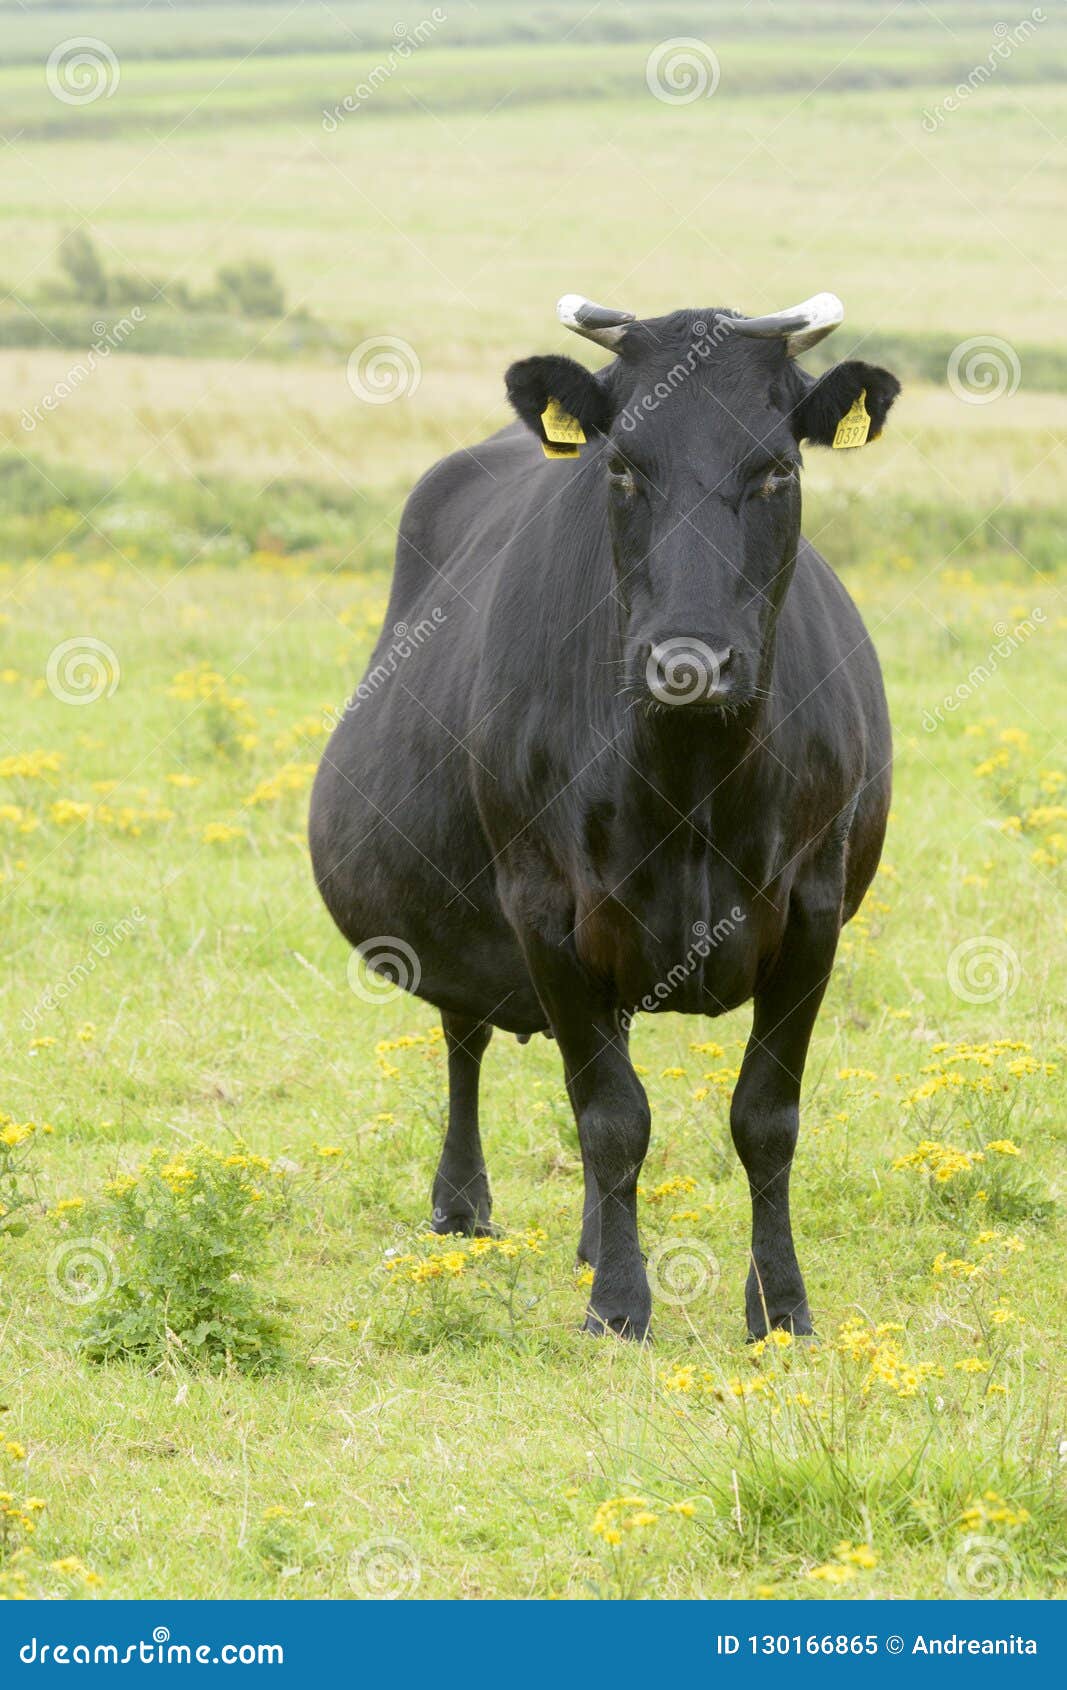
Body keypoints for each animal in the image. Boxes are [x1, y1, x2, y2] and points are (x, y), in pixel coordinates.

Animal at [309, 292, 900, 1341]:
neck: (692, 775)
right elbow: (612, 1117)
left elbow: (765, 1117)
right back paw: (461, 1209)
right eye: (622, 467)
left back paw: (588, 1236)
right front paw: (619, 1306)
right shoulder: (541, 906)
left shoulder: (814, 909)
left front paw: (779, 1305)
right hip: (457, 917)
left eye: (777, 469)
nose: (688, 662)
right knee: (465, 1039)